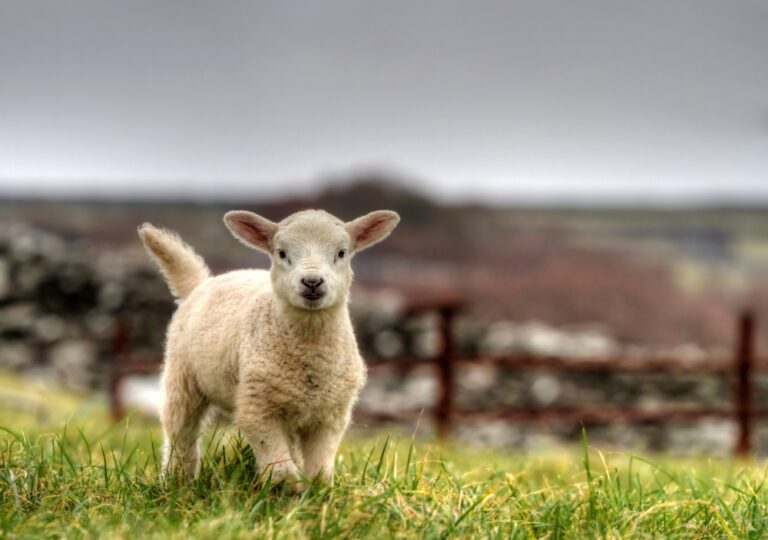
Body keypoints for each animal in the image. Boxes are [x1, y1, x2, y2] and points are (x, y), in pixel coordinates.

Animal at [137, 209, 399, 491]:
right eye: (281, 253)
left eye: (342, 253)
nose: (312, 282)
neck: (310, 354)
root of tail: (201, 284)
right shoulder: (258, 407)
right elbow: (282, 471)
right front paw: (288, 492)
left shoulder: (331, 414)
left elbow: (320, 473)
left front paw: (314, 494)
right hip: (182, 378)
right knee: (181, 432)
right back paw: (178, 482)